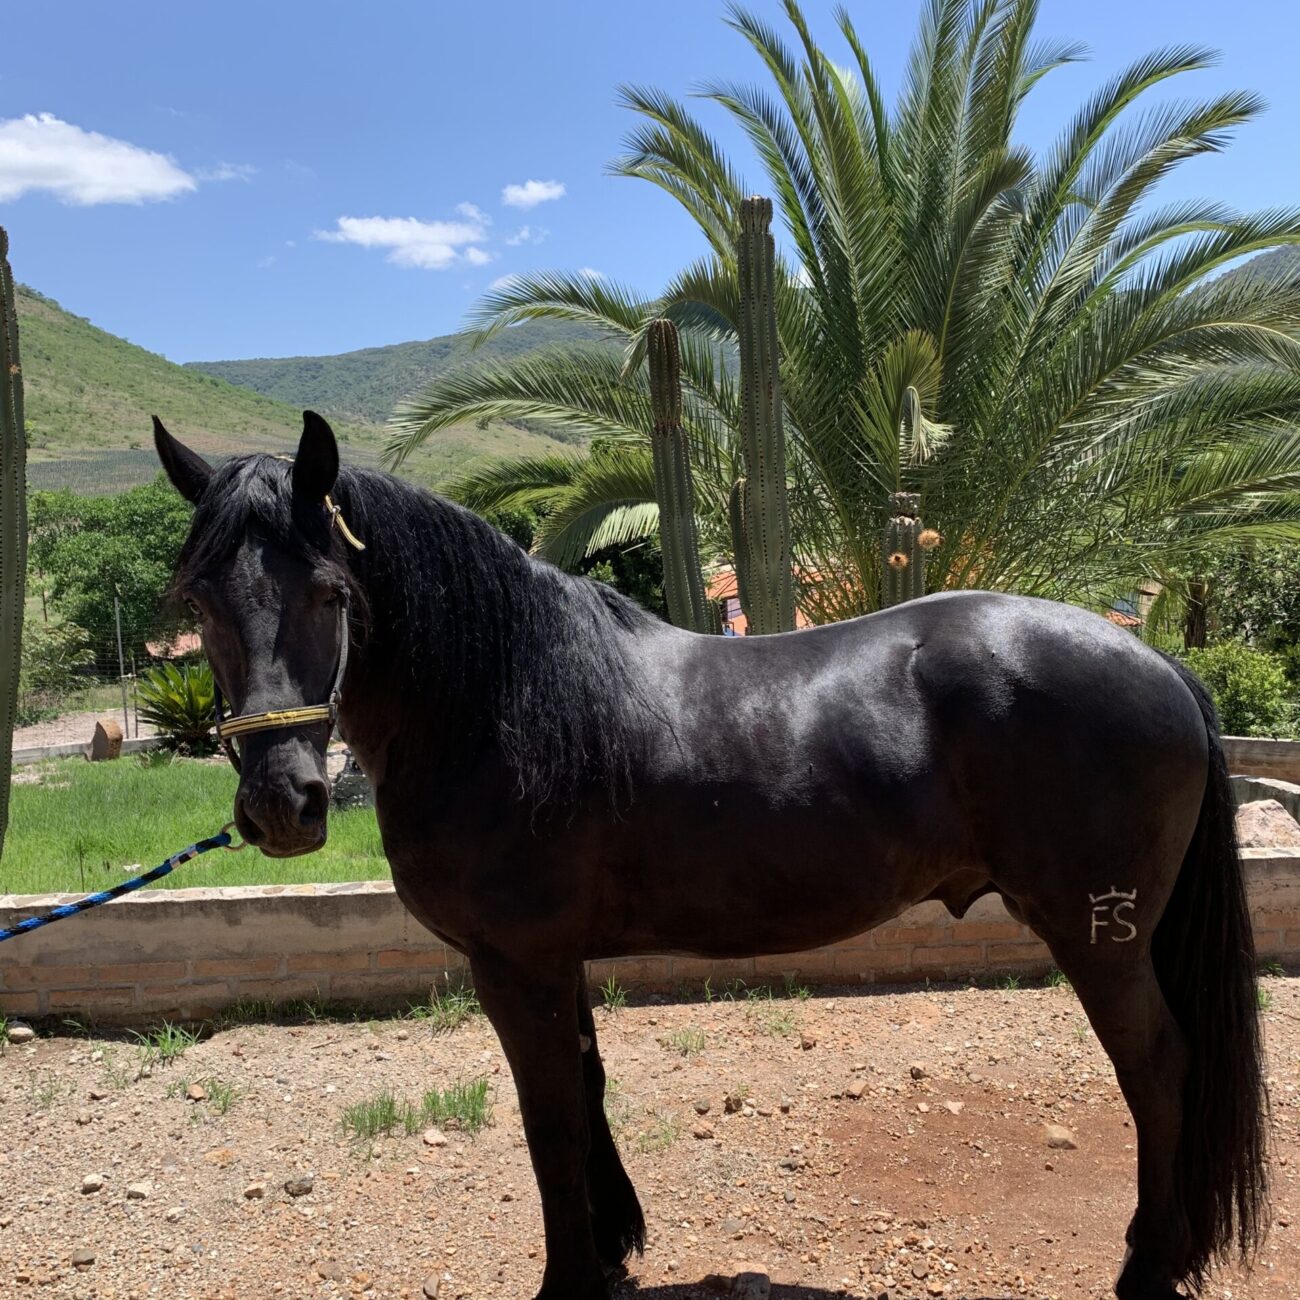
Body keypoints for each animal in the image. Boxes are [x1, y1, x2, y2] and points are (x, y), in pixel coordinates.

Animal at [154, 411, 1268, 1300]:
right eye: (197, 600)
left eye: (333, 593)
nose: (281, 802)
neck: (500, 703)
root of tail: (1158, 659)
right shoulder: (555, 962)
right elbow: (586, 1091)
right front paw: (611, 1250)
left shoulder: (515, 963)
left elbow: (550, 1119)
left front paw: (570, 1281)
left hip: (1101, 936)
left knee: (1157, 1067)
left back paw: (1147, 1267)